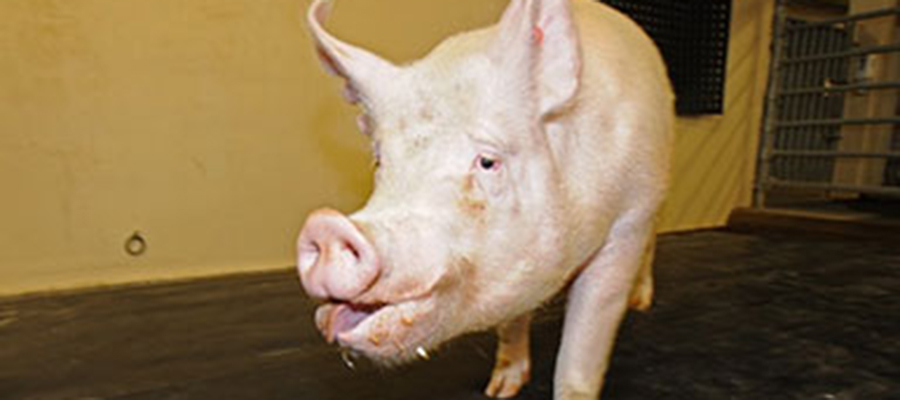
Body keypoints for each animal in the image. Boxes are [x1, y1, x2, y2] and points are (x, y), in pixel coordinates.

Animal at [296, 0, 673, 398]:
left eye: (488, 161)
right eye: (380, 160)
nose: (324, 227)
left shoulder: (627, 222)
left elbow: (580, 357)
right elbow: (511, 323)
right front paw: (500, 389)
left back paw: (641, 301)